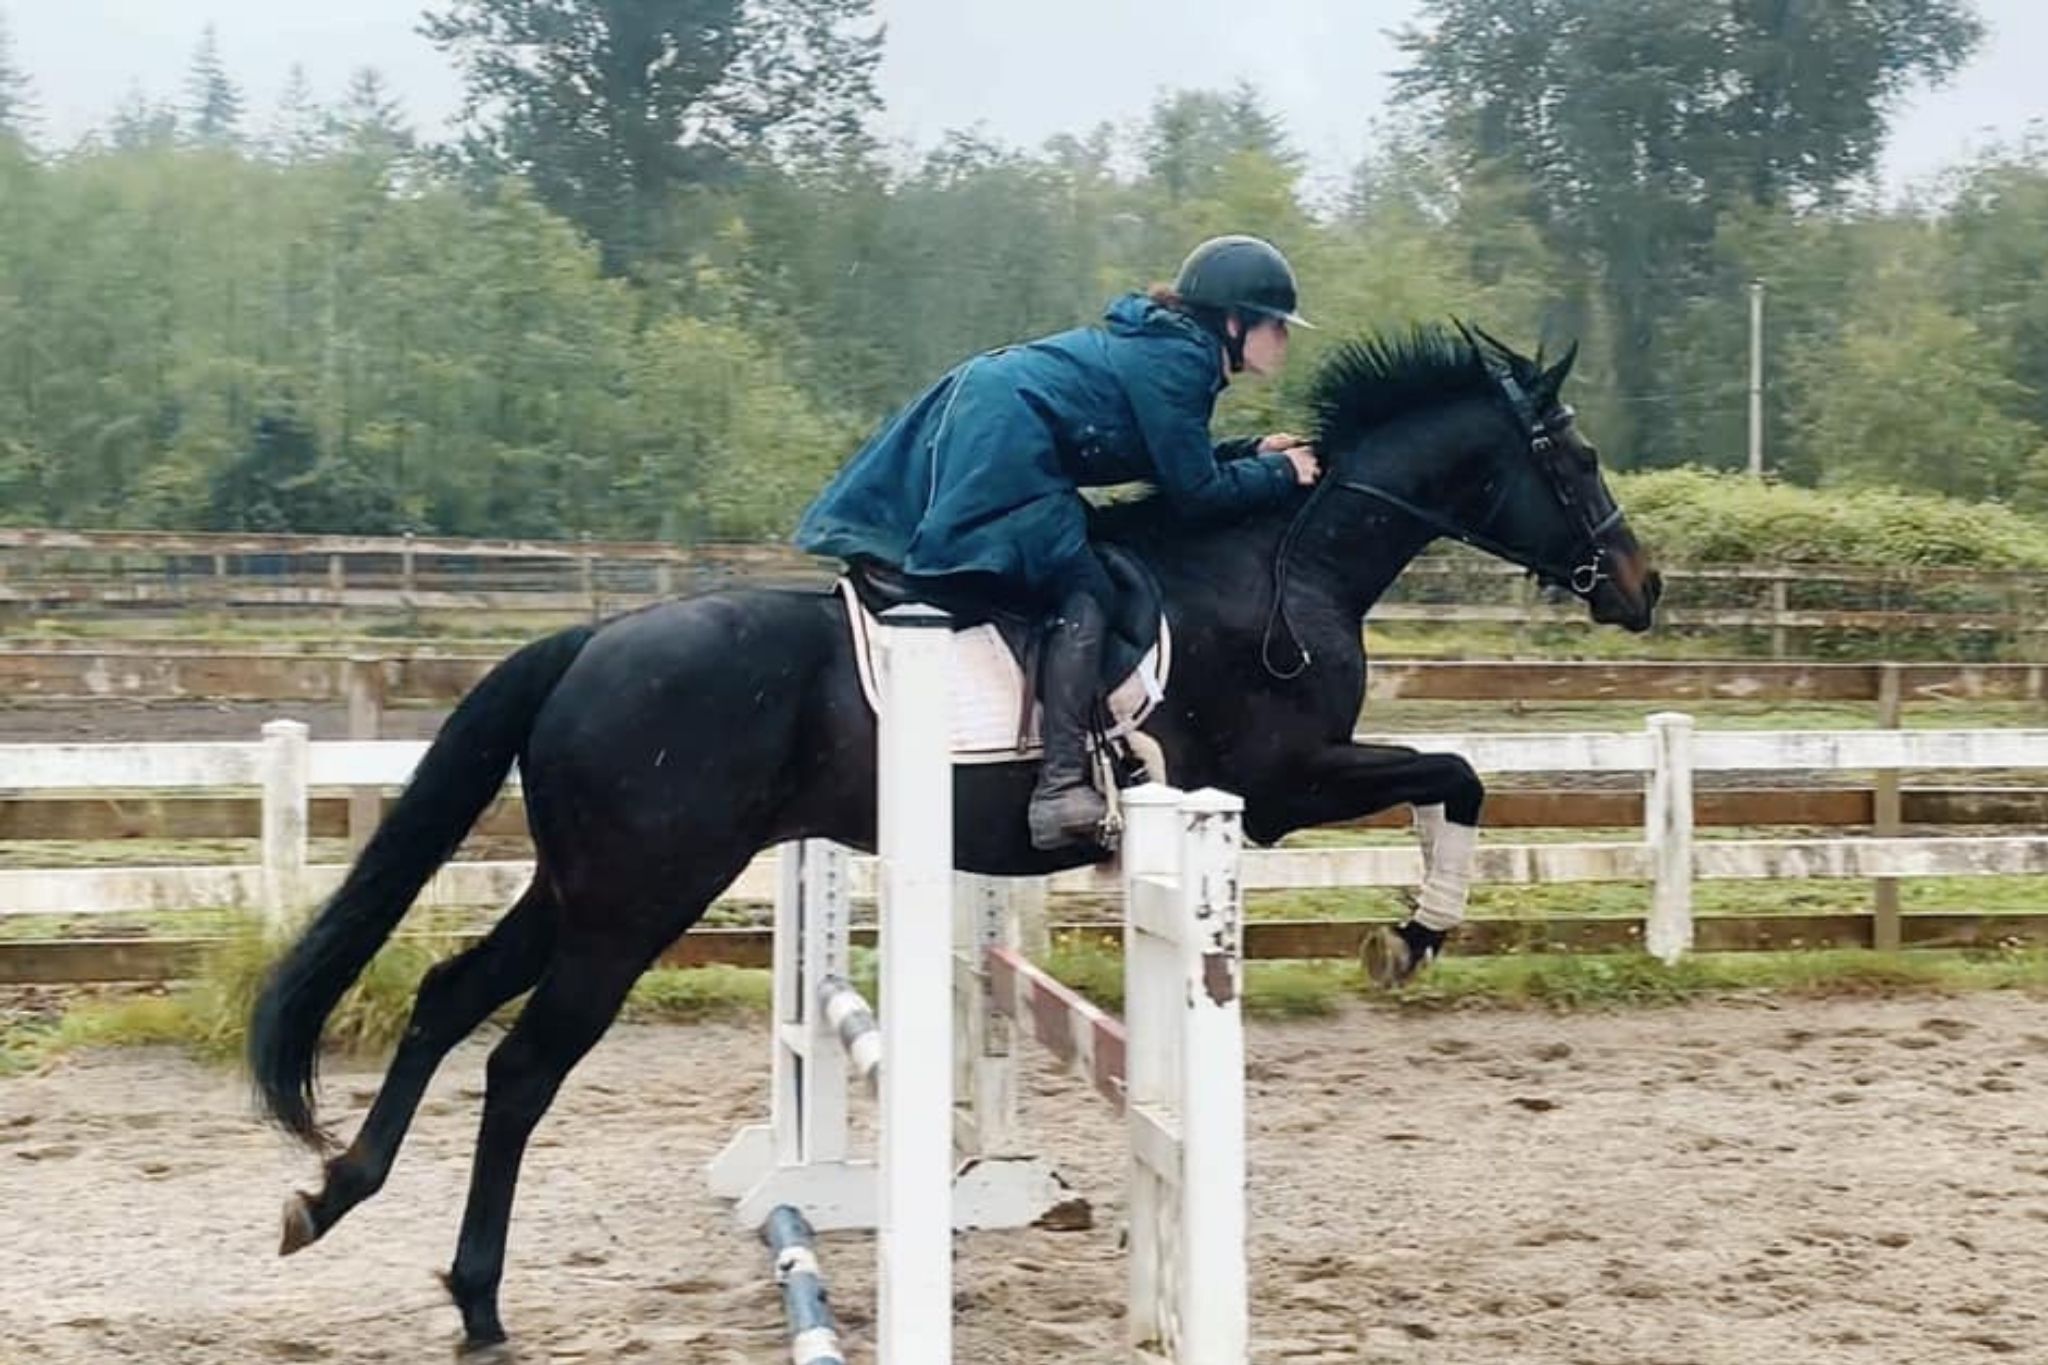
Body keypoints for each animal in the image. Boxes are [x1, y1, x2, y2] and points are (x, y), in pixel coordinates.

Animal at [247, 322, 1661, 1353]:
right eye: (1580, 459)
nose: (1641, 586)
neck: (1284, 560)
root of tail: (587, 641)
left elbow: (1453, 778)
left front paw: (1409, 934)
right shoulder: (1272, 791)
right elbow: (1459, 776)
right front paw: (1410, 937)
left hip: (580, 885)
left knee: (446, 998)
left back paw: (333, 1196)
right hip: (638, 897)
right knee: (524, 1063)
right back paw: (477, 1297)